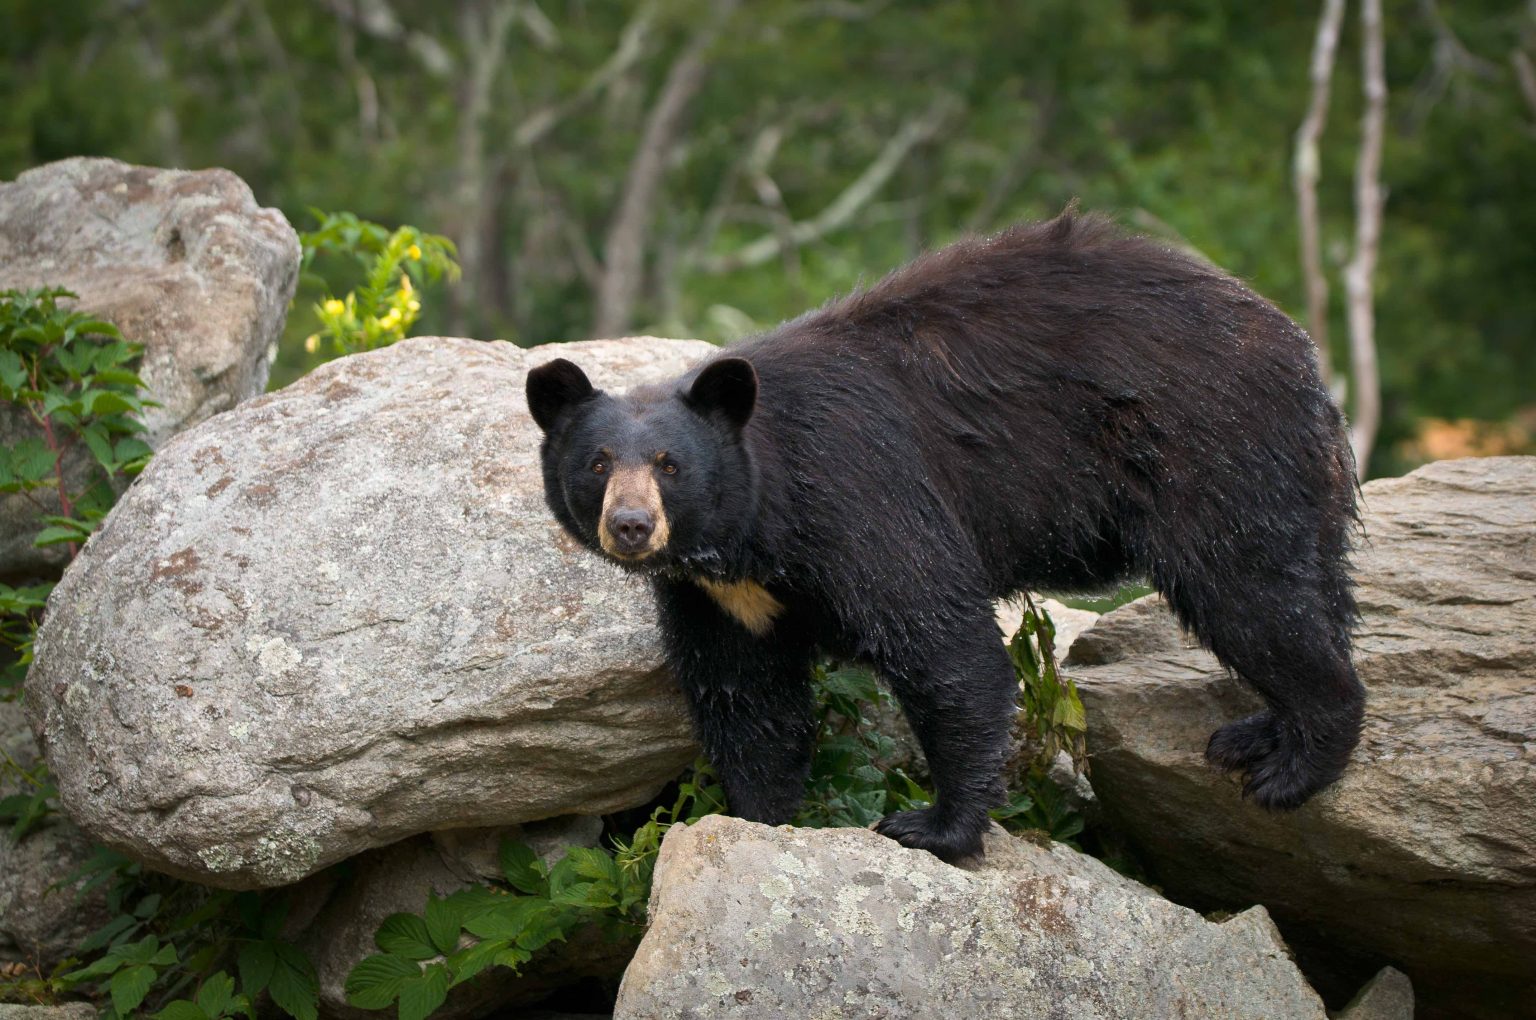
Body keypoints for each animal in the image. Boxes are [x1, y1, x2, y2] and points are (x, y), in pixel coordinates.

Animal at [526, 208, 1363, 863]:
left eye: (669, 464)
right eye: (598, 462)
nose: (631, 526)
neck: (753, 531)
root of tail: (1299, 349)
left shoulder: (858, 493)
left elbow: (941, 643)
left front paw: (934, 825)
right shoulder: (717, 597)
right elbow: (747, 699)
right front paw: (759, 816)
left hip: (1210, 451)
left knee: (1249, 593)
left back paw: (1294, 764)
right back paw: (1258, 733)